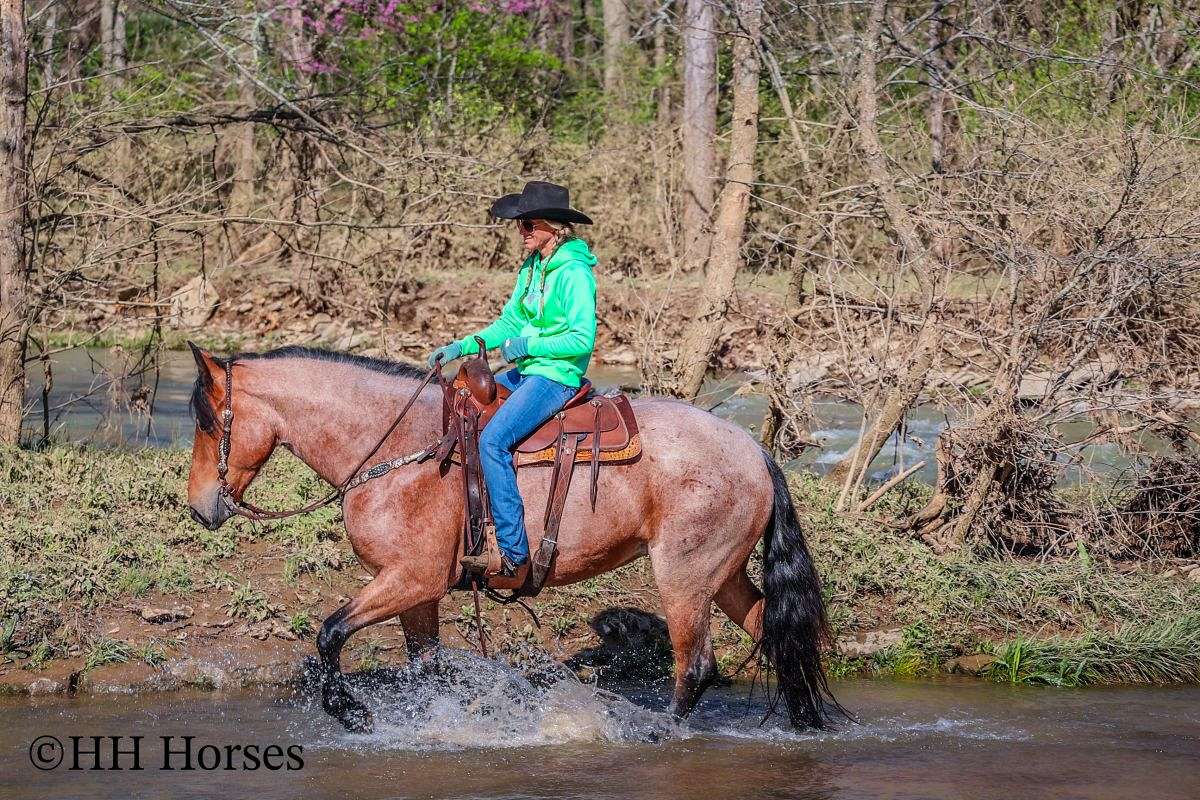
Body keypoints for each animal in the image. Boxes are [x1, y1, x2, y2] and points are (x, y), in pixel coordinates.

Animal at [184, 343, 841, 732]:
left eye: (209, 422)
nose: (200, 507)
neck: (403, 450)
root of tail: (754, 449)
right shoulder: (416, 593)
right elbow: (427, 668)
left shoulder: (410, 579)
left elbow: (329, 633)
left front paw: (351, 713)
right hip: (721, 575)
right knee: (774, 633)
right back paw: (804, 721)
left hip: (683, 574)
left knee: (697, 664)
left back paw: (662, 732)